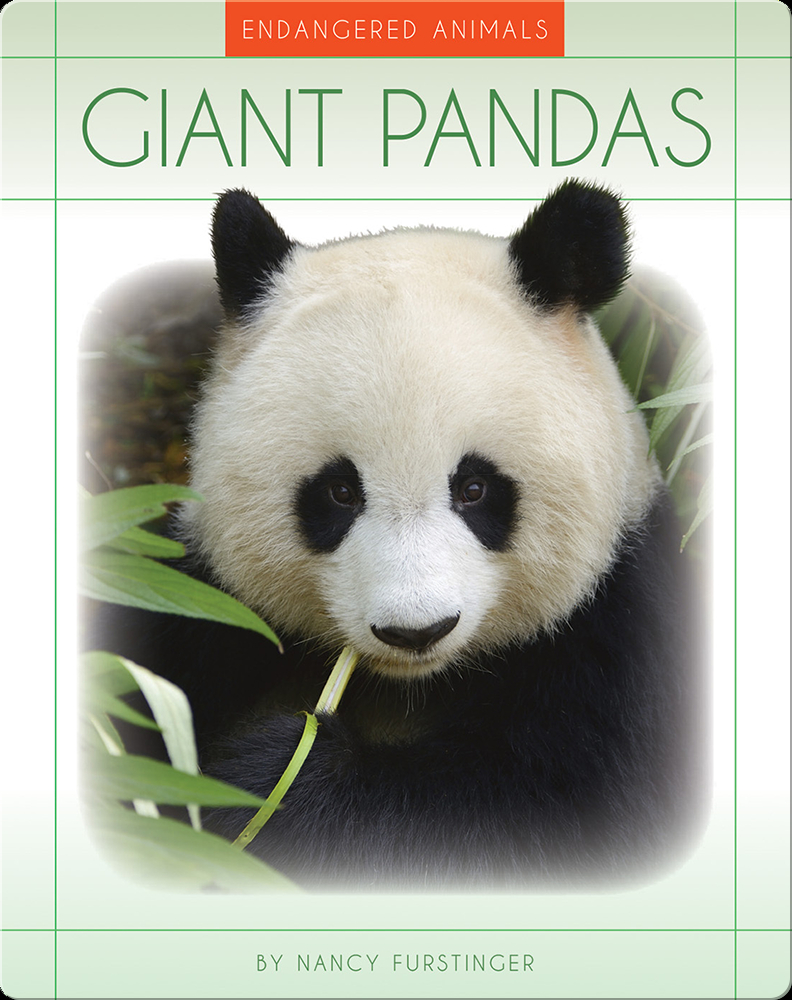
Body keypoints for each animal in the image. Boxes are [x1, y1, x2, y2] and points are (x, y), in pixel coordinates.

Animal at [102, 180, 704, 889]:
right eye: (340, 491)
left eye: (474, 488)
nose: (416, 631)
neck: (410, 685)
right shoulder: (199, 600)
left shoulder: (620, 635)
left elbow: (545, 816)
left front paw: (274, 782)